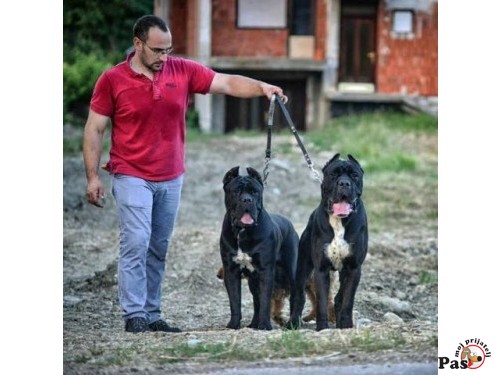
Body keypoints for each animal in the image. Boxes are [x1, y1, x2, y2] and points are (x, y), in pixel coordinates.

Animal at [221, 166, 298, 330]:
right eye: (236, 191)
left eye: (255, 192)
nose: (247, 200)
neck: (243, 232)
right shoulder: (231, 271)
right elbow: (235, 301)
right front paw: (233, 325)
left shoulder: (265, 271)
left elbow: (265, 301)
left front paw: (264, 325)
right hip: (253, 280)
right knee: (256, 299)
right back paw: (253, 324)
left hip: (292, 272)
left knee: (296, 297)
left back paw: (293, 323)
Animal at [288, 154, 366, 330]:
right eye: (333, 174)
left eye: (354, 175)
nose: (344, 183)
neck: (339, 222)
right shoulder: (321, 269)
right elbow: (322, 301)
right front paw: (322, 328)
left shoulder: (353, 269)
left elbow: (347, 301)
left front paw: (346, 326)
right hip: (303, 268)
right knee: (298, 296)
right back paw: (292, 323)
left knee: (339, 298)